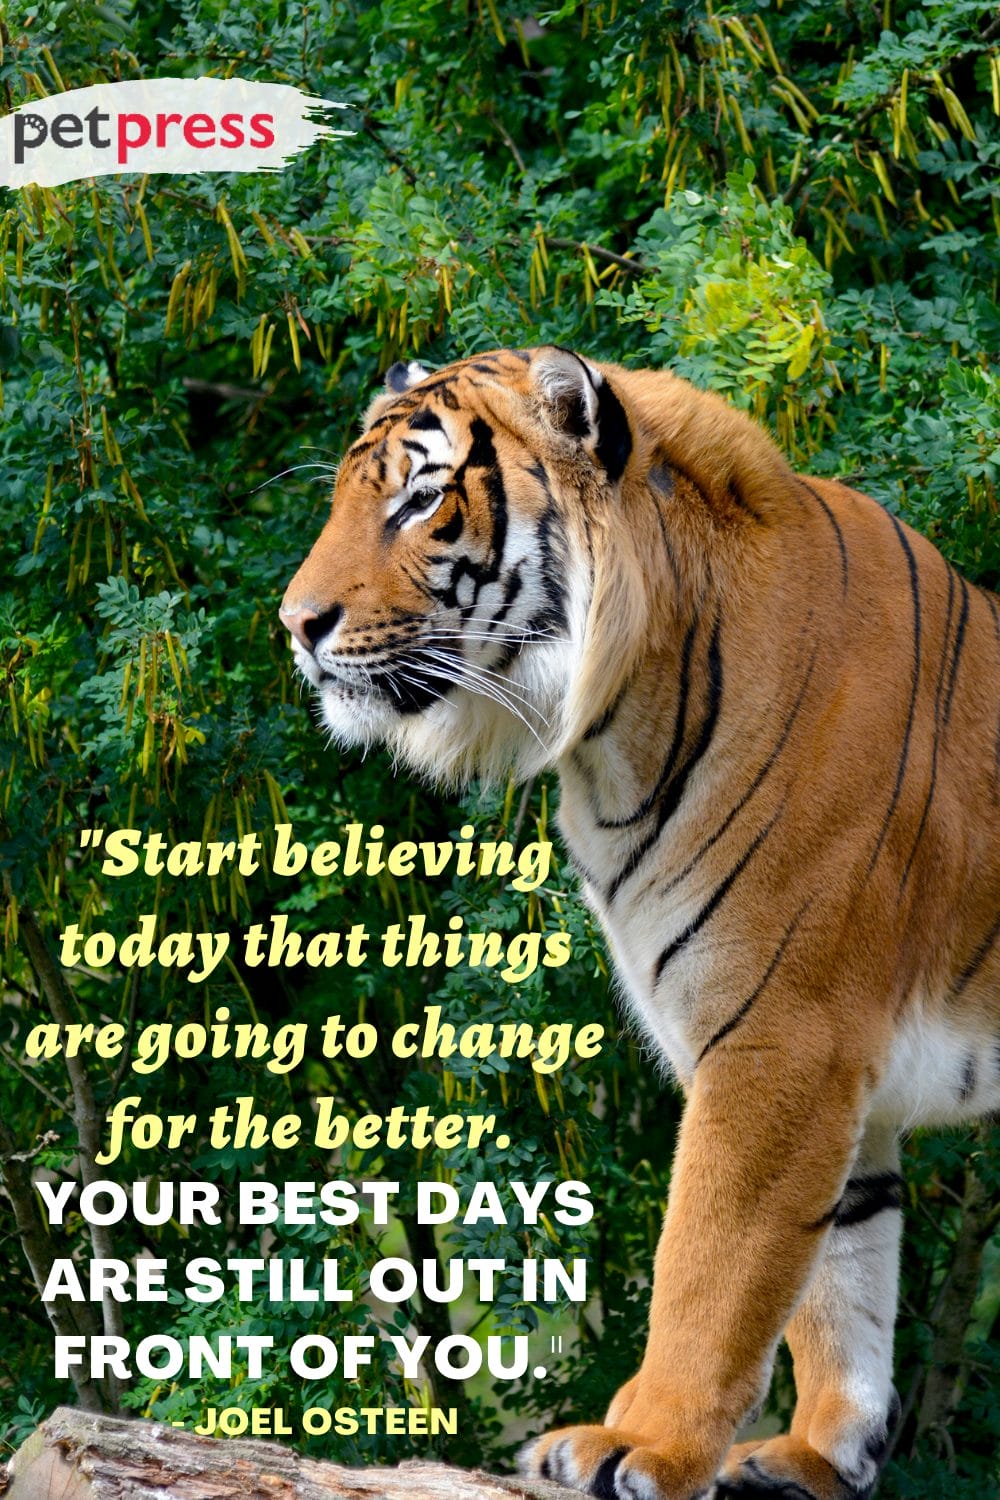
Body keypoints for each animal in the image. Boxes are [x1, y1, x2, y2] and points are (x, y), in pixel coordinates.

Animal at [280, 346, 1000, 1500]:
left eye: (422, 497)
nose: (296, 626)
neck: (613, 737)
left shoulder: (777, 1046)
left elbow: (713, 1266)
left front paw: (644, 1444)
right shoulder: (842, 1079)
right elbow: (841, 1278)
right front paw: (815, 1456)